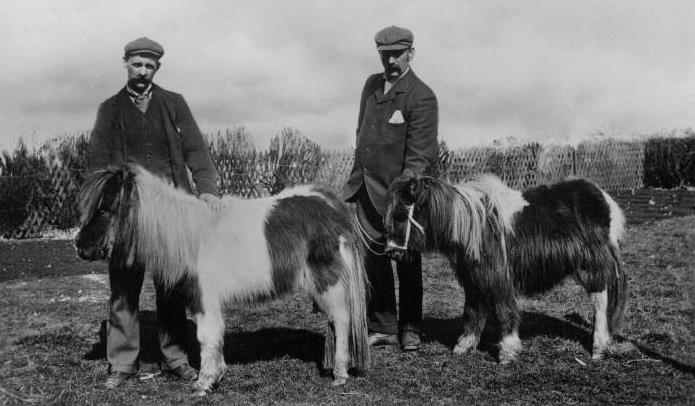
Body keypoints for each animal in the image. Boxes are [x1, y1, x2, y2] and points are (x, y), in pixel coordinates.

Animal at [74, 164, 369, 393]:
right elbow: (215, 336)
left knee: (341, 319)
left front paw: (203, 384)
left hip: (326, 281)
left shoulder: (204, 297)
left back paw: (340, 375)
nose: (79, 246)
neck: (188, 236)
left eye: (104, 209)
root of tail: (331, 205)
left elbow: (207, 336)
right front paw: (217, 375)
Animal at [383, 174, 627, 363]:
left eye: (401, 215)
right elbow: (472, 310)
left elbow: (502, 309)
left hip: (592, 266)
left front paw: (507, 352)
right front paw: (464, 346)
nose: (391, 252)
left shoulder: (497, 276)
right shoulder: (474, 278)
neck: (472, 225)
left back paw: (598, 349)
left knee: (601, 300)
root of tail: (606, 200)